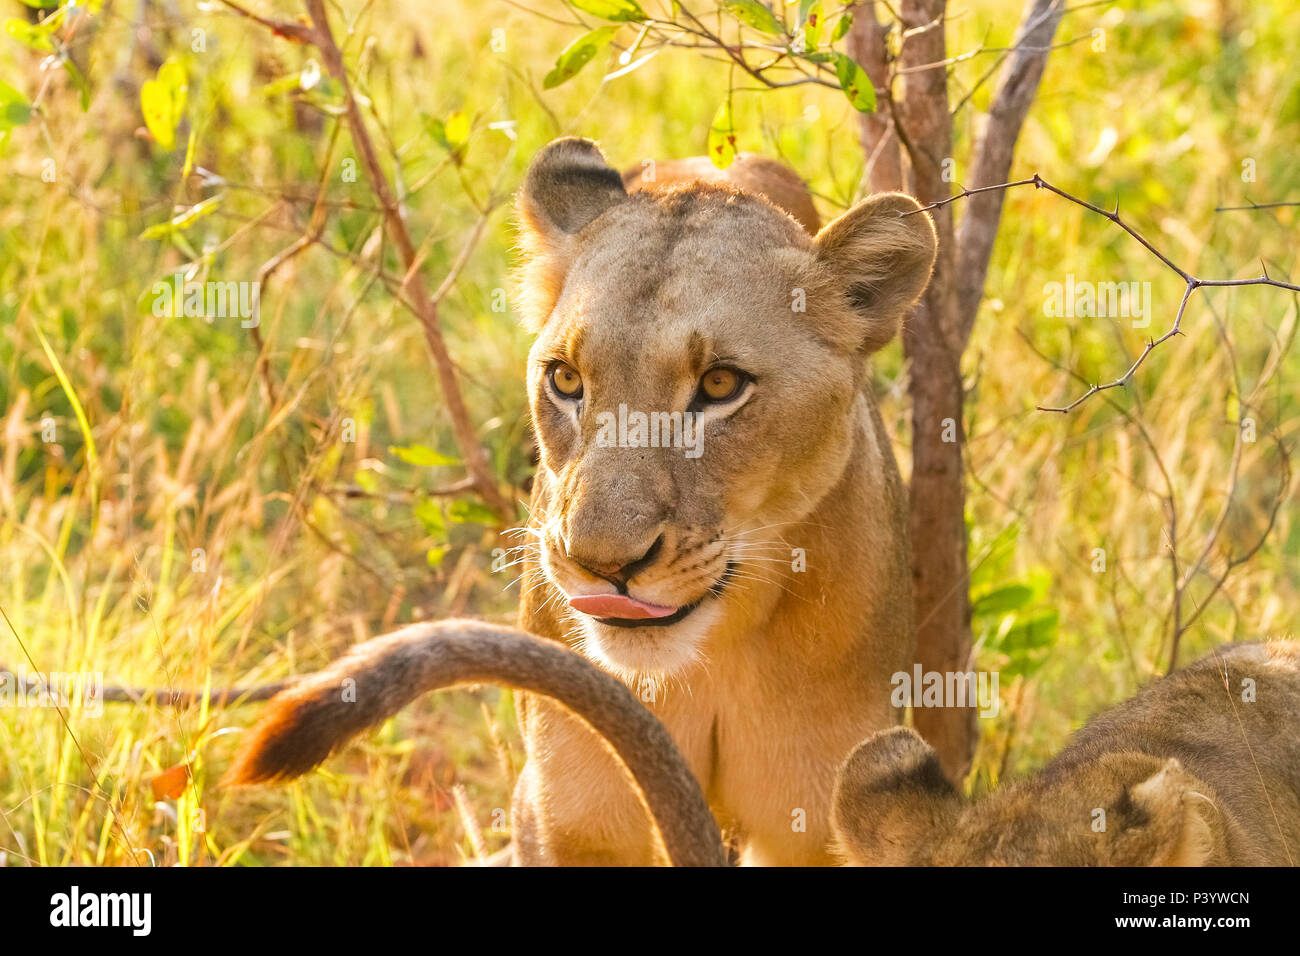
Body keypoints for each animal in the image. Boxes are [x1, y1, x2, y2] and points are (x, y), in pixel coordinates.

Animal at [227, 137, 937, 866]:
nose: (602, 564)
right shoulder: (572, 807)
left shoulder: (815, 818)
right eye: (566, 379)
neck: (713, 654)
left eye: (720, 384)